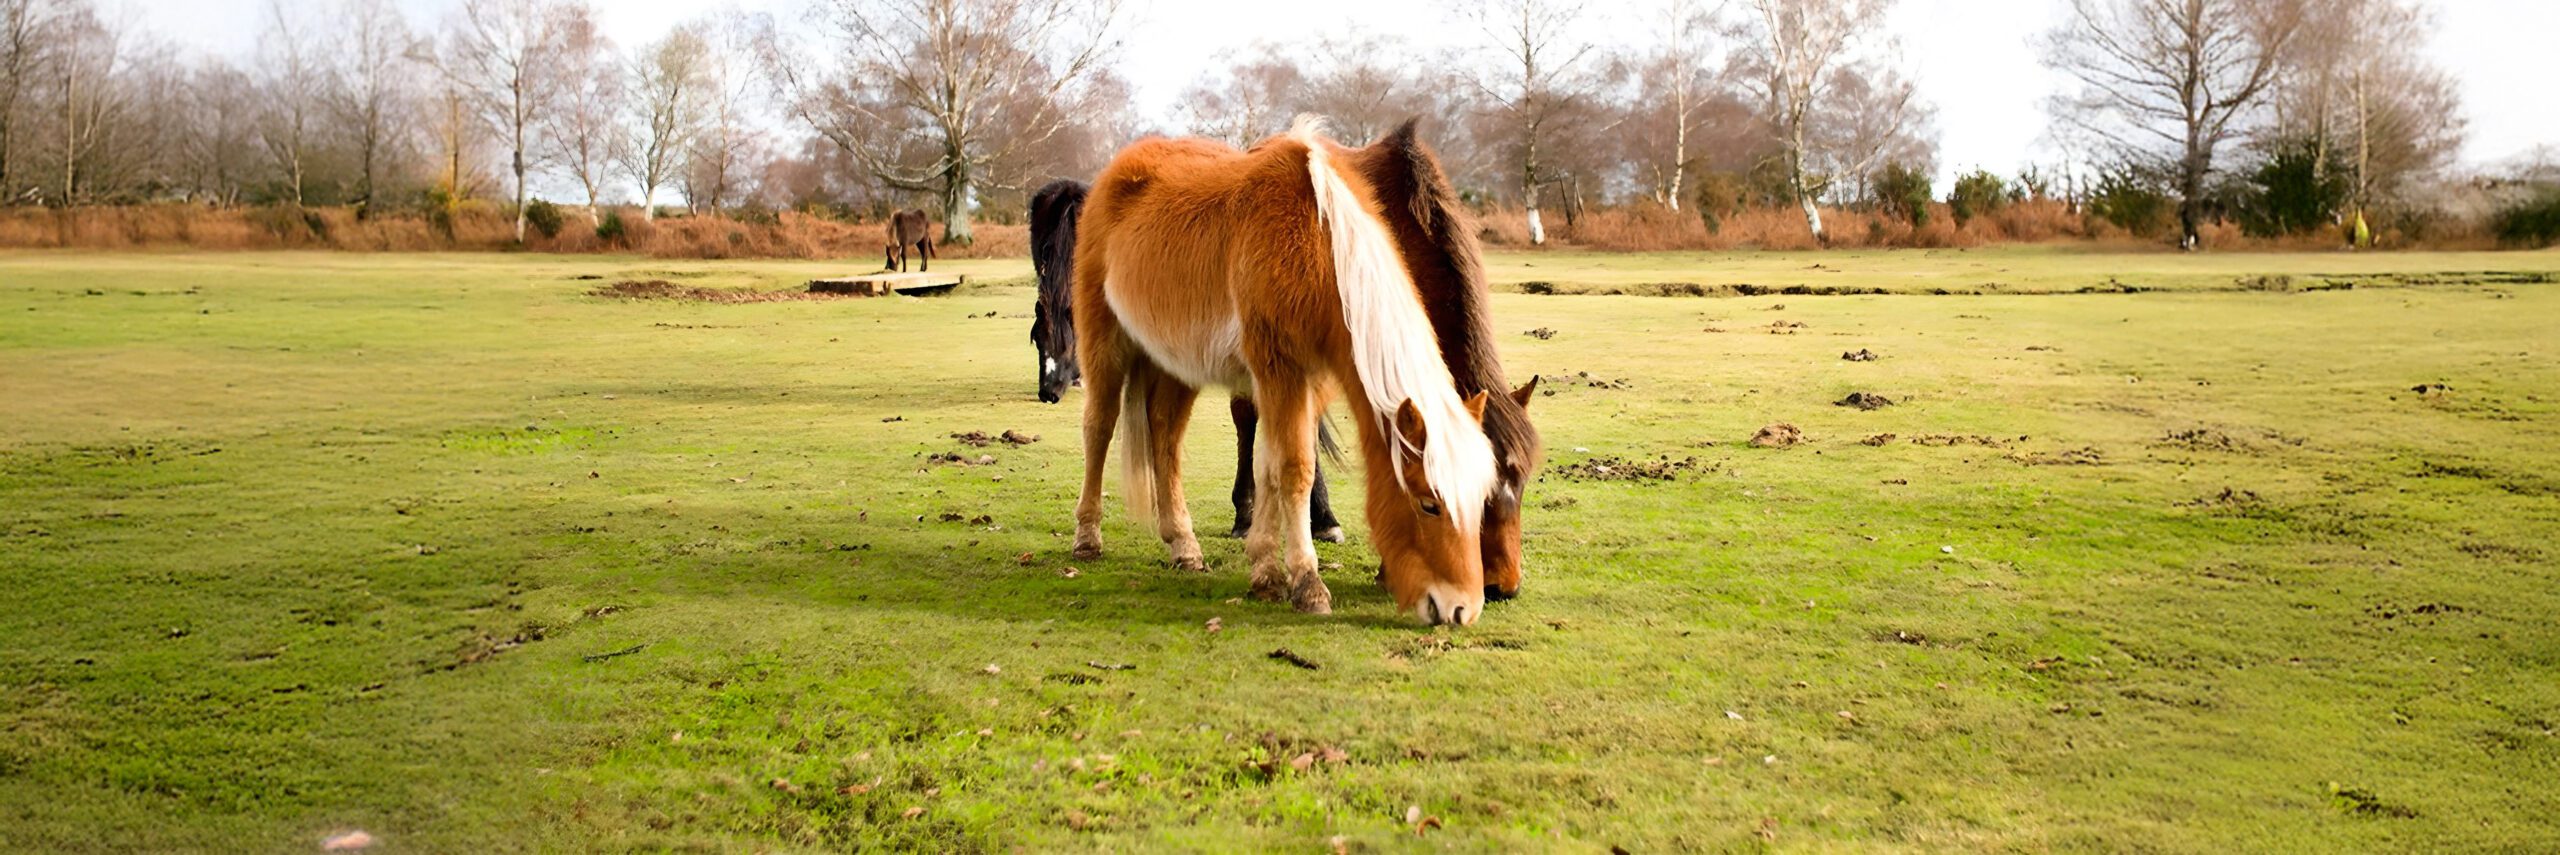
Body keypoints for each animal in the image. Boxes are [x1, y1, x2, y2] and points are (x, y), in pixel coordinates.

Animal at [1068, 117, 1535, 626]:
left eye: (1484, 495)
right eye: (1429, 504)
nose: (1468, 605)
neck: (1318, 244)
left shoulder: (1315, 379)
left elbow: (1273, 465)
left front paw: (1266, 572)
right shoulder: (1279, 369)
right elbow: (1295, 468)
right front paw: (1308, 584)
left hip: (1175, 363)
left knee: (1165, 438)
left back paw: (1184, 546)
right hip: (1105, 341)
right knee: (1099, 426)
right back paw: (1087, 539)